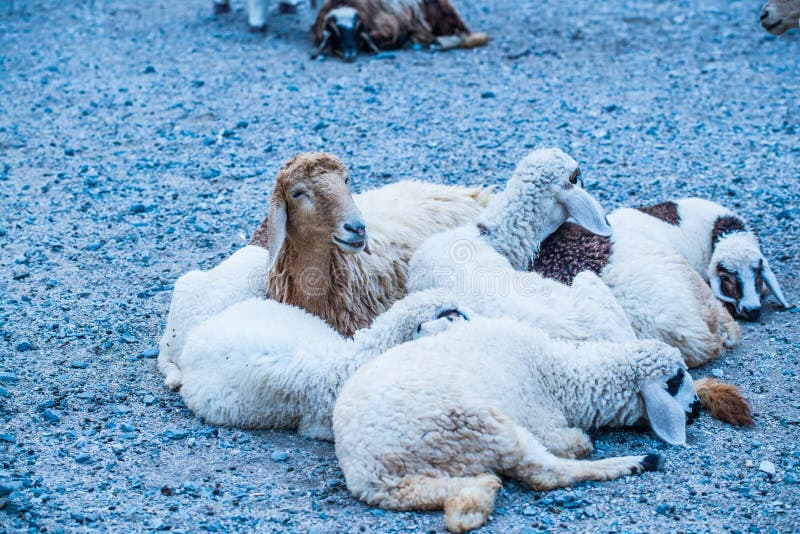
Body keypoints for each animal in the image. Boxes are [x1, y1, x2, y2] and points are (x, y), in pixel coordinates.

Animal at [334, 313, 700, 533]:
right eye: (676, 379)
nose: (697, 408)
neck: (563, 375)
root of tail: (369, 473)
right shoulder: (544, 420)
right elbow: (577, 444)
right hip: (480, 423)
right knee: (543, 473)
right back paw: (639, 461)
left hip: (433, 469)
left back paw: (478, 493)